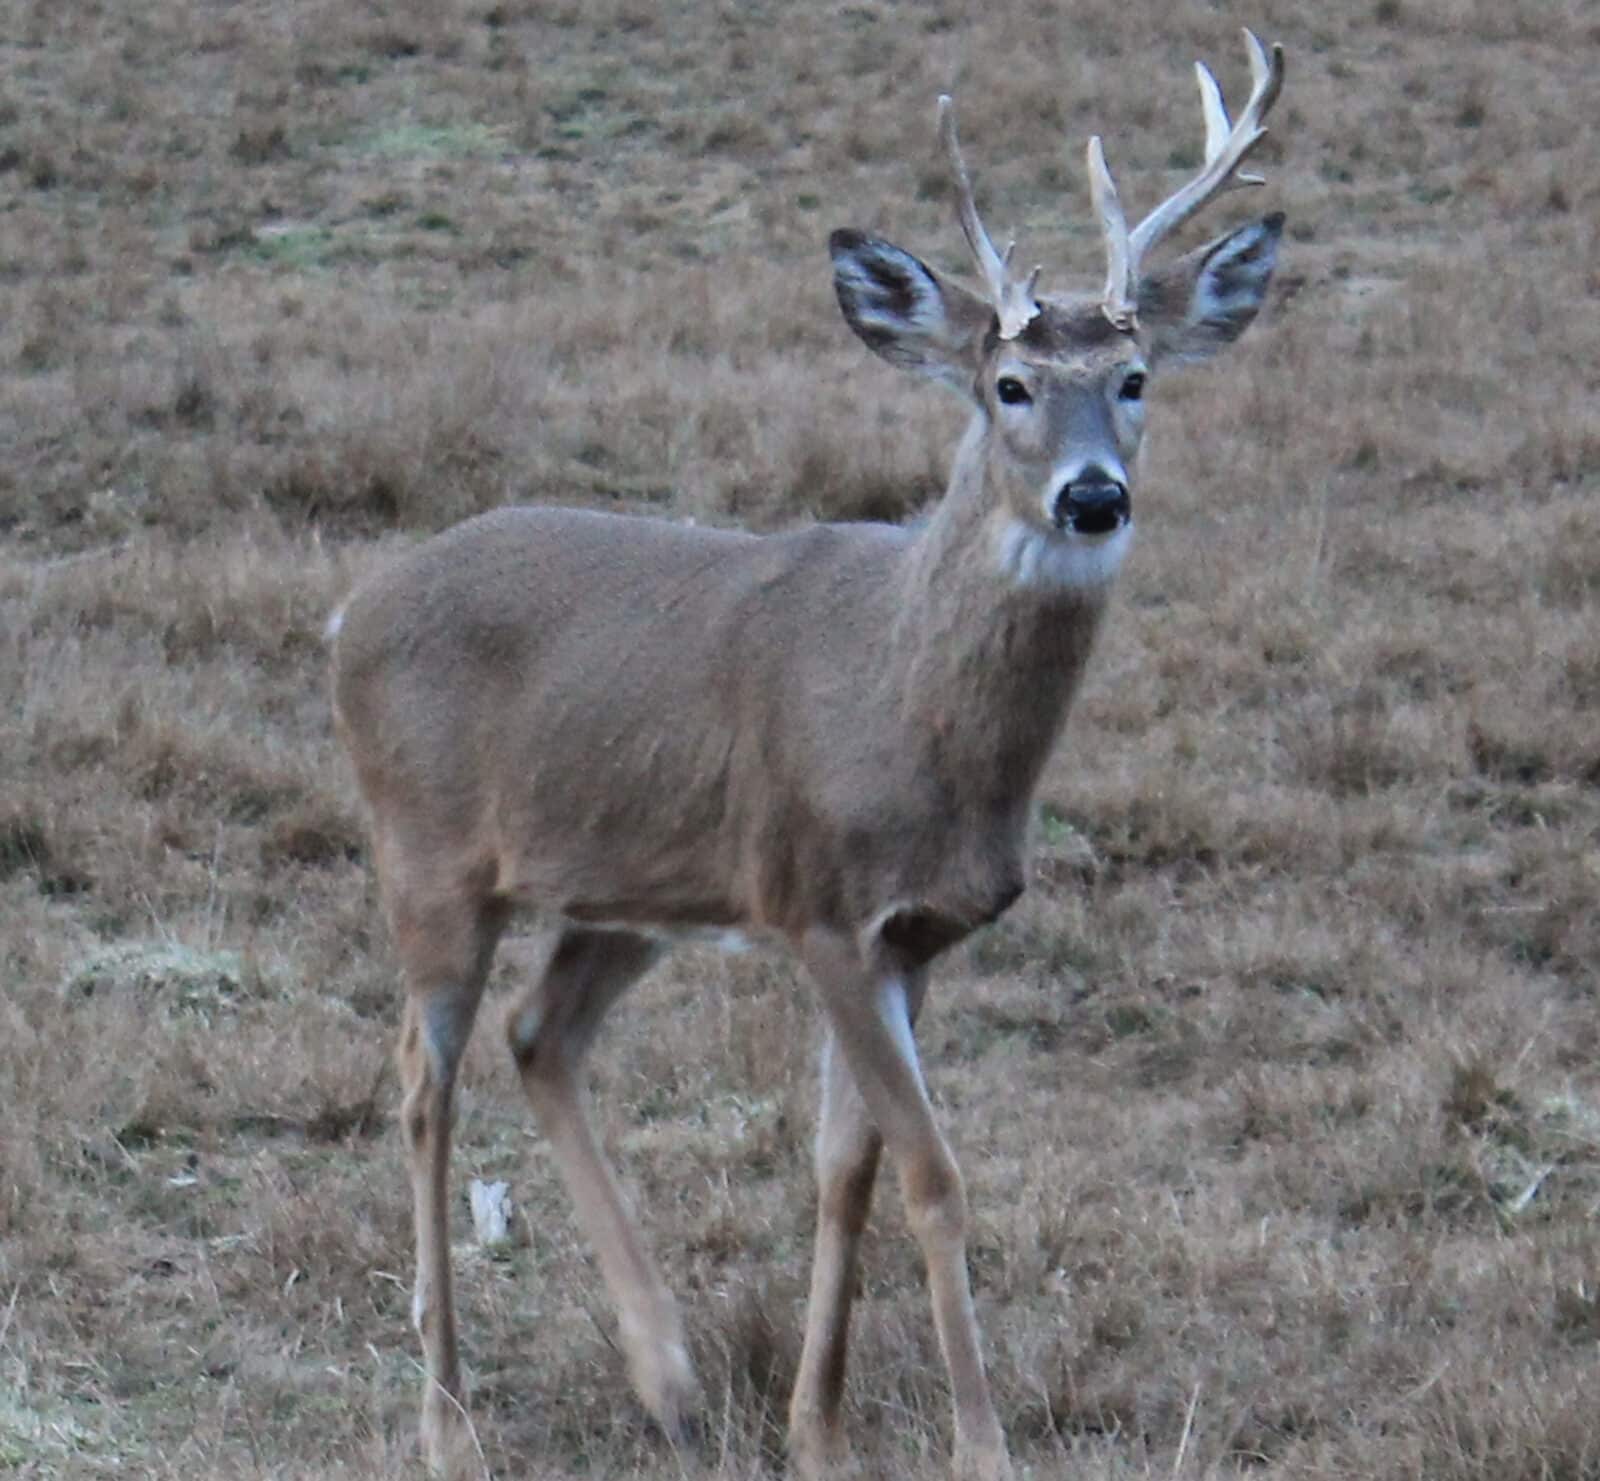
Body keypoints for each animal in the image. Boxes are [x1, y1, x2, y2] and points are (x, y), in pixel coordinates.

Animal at [329, 29, 1286, 1481]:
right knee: (418, 1081)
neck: (912, 713)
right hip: (428, 852)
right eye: (1007, 385)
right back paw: (447, 1414)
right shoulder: (822, 907)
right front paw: (981, 1445)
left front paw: (814, 1427)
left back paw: (666, 1376)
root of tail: (346, 617)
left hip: (634, 884)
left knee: (540, 1033)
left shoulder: (916, 933)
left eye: (1136, 381)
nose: (1093, 494)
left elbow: (850, 1170)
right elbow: (934, 1172)